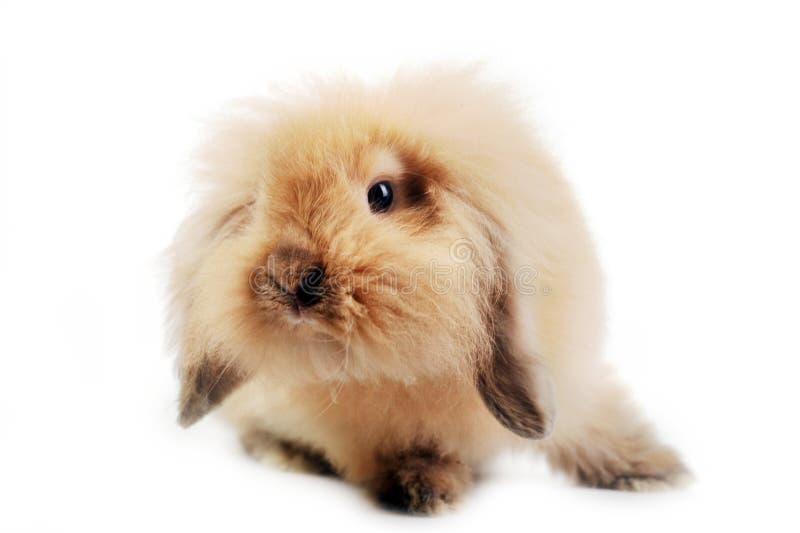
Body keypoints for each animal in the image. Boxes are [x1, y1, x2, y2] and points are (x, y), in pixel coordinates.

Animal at [168, 66, 687, 514]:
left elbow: (593, 427)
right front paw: (421, 489)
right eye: (258, 205)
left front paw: (656, 473)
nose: (287, 272)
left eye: (381, 194)